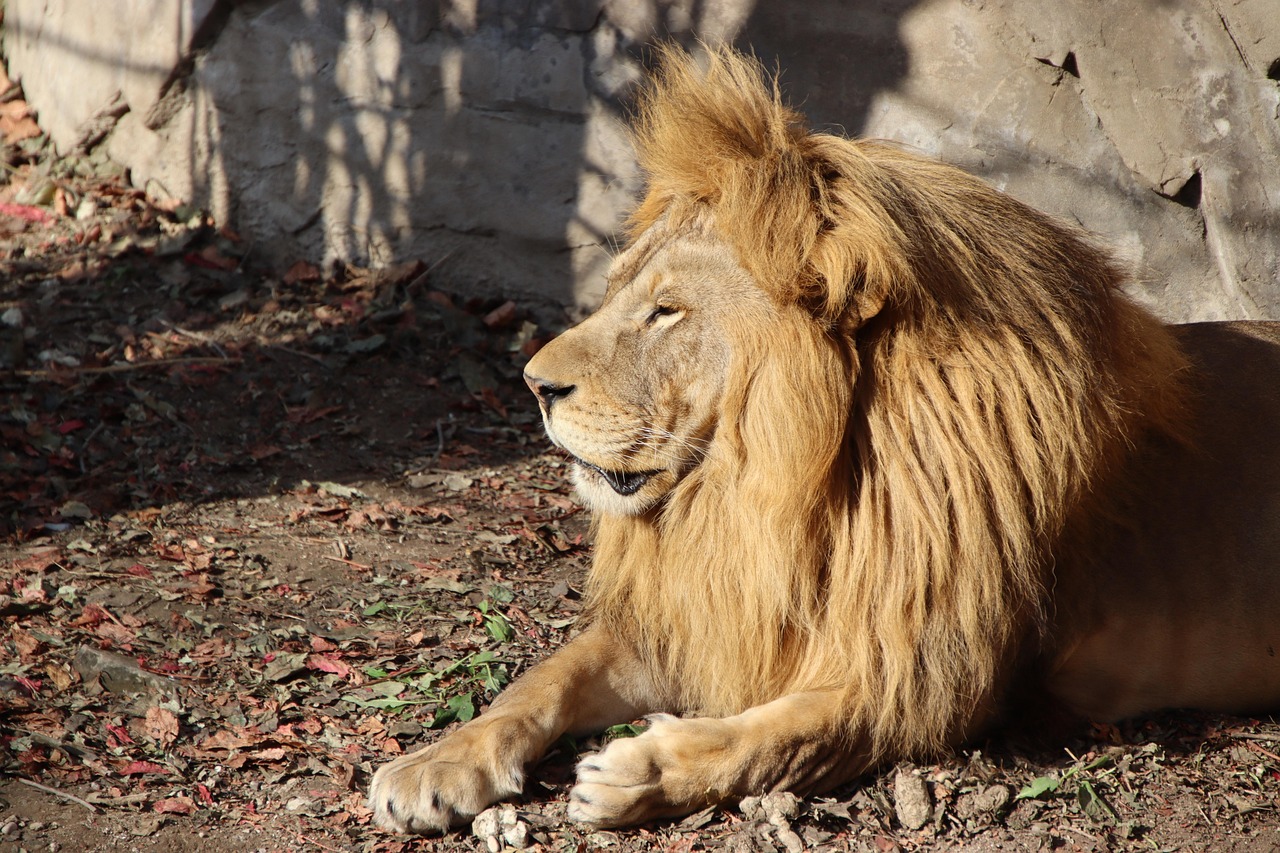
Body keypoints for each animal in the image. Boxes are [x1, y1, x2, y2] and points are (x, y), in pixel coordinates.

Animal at [368, 46, 1280, 833]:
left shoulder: (923, 675)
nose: (533, 383)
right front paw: (434, 763)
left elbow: (772, 736)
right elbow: (540, 678)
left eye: (667, 310)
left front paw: (640, 769)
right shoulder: (702, 612)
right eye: (624, 292)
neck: (774, 492)